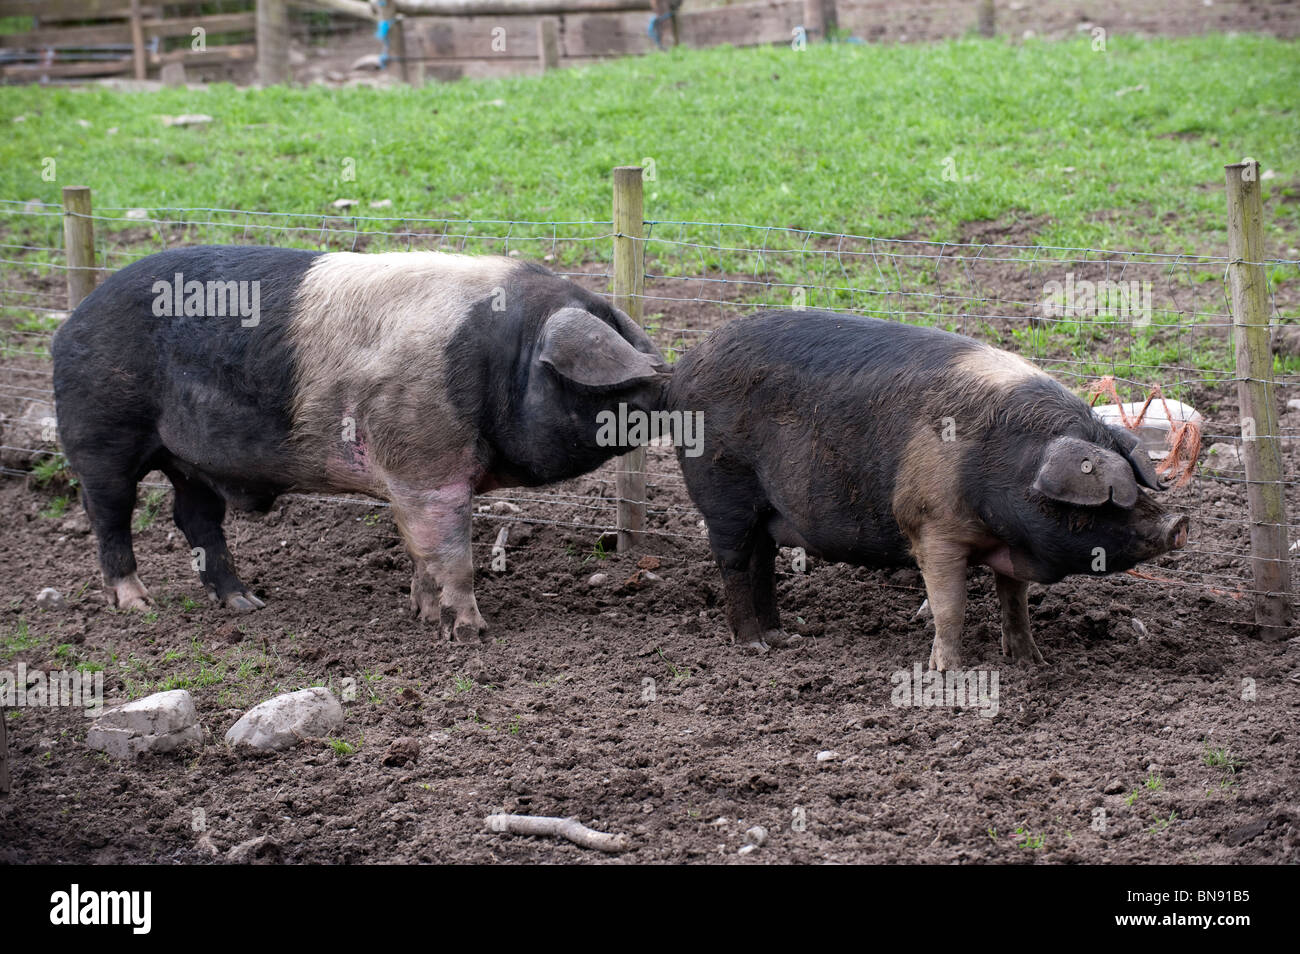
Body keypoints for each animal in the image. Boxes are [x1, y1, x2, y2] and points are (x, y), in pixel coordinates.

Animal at [52, 246, 668, 641]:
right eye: (620, 382)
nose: (667, 379)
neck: (508, 357)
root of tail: (70, 322)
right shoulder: (427, 460)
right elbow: (453, 554)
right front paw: (471, 635)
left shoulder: (411, 476)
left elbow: (423, 553)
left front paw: (424, 617)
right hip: (100, 433)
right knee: (108, 513)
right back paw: (137, 606)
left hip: (192, 461)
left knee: (196, 518)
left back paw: (246, 604)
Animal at [666, 310, 1189, 669]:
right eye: (1108, 499)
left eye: (1136, 485)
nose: (1178, 521)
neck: (1009, 466)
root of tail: (684, 366)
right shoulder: (931, 526)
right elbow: (949, 607)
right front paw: (949, 671)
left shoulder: (1011, 543)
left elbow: (1014, 603)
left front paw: (1030, 663)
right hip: (722, 492)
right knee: (735, 563)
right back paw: (753, 645)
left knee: (763, 563)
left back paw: (785, 638)